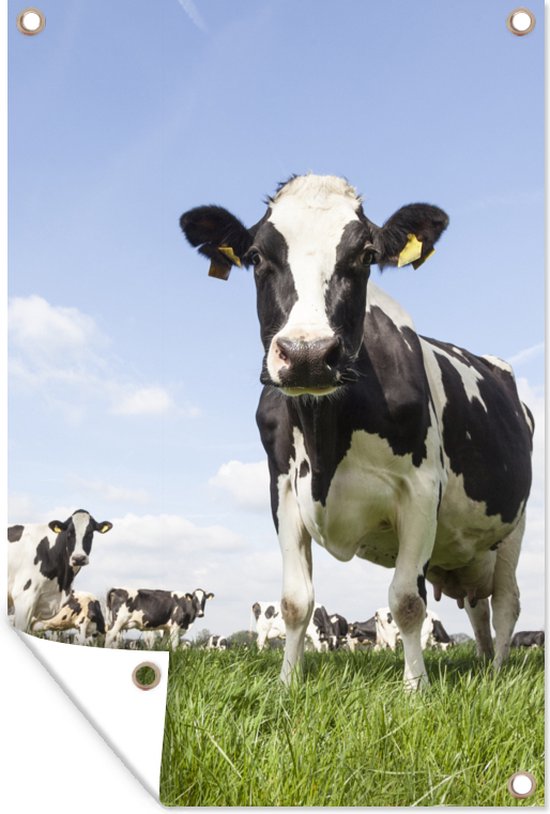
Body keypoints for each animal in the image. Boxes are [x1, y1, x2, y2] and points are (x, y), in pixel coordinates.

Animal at [180, 173, 533, 689]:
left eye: (366, 255)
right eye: (257, 257)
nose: (307, 354)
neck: (327, 437)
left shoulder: (422, 490)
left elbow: (407, 601)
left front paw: (415, 687)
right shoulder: (284, 490)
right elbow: (295, 601)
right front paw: (287, 684)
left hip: (514, 526)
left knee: (506, 602)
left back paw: (500, 672)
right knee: (478, 610)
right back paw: (485, 664)